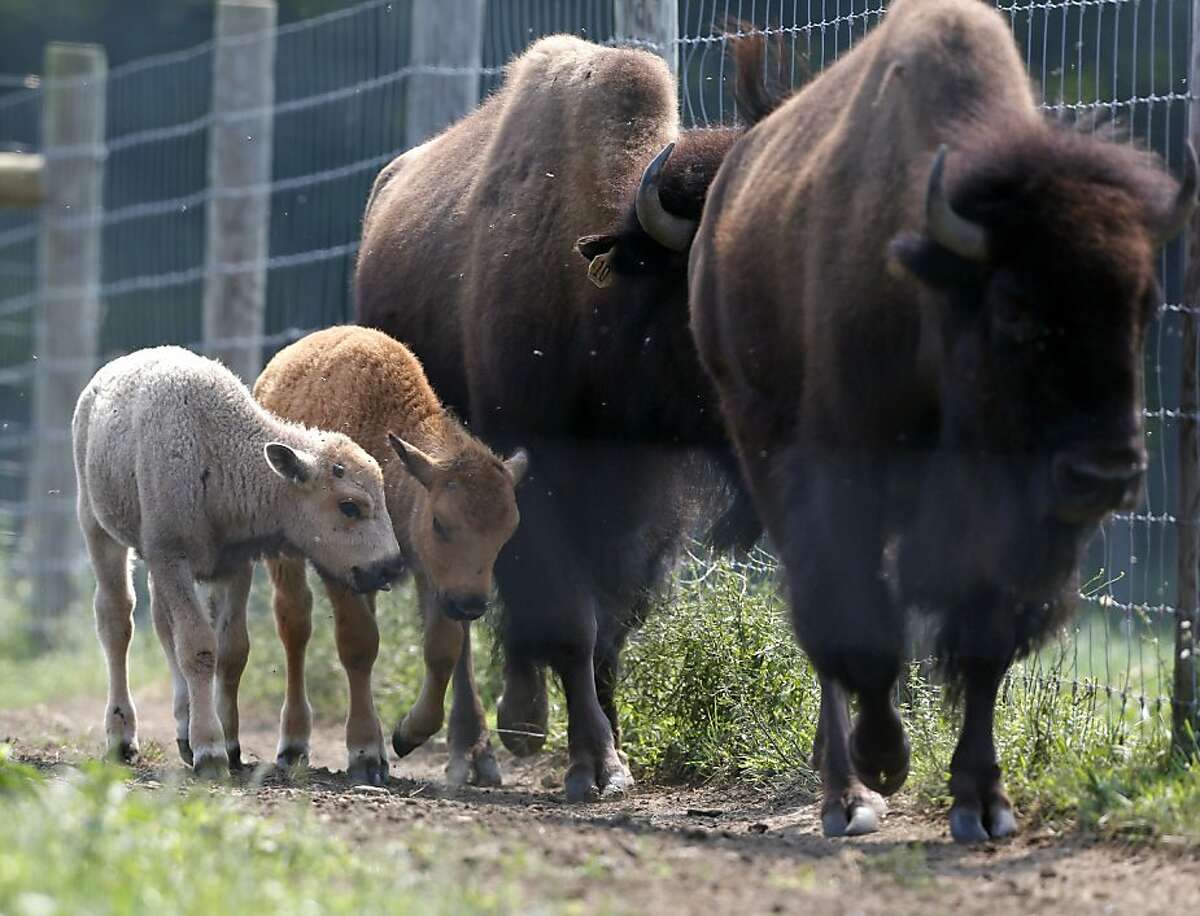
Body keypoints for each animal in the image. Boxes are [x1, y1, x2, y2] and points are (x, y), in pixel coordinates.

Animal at [690, 0, 1195, 840]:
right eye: (1015, 305)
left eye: (1144, 304)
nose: (1106, 474)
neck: (933, 299)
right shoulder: (845, 486)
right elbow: (861, 632)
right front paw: (885, 762)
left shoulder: (1008, 528)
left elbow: (984, 648)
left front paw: (982, 802)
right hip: (755, 434)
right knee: (820, 619)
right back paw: (847, 794)